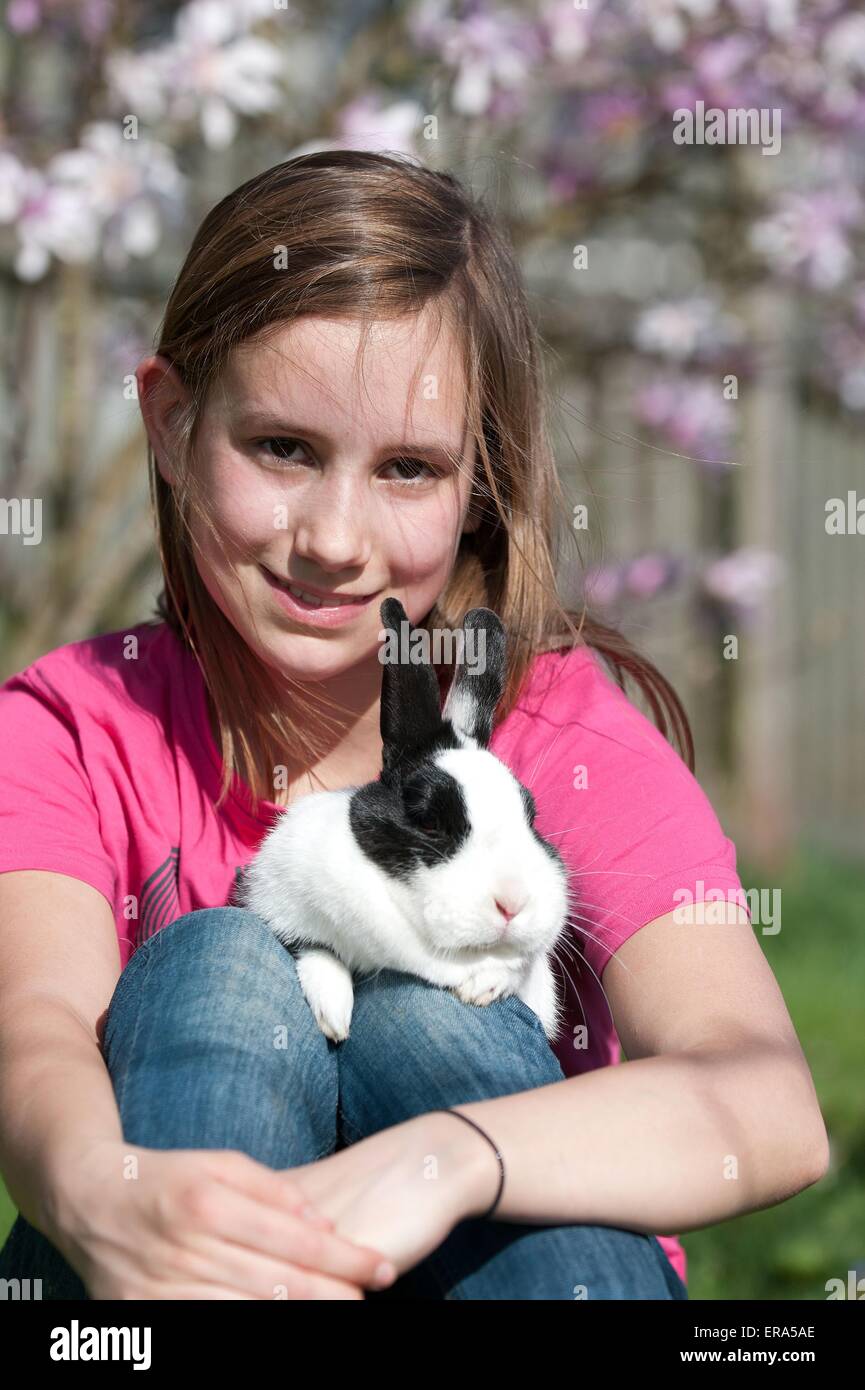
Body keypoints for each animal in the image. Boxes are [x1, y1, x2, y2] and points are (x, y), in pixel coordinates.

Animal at [235, 596, 570, 1044]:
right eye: (428, 821)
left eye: (531, 818)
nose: (513, 904)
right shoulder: (272, 899)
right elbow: (312, 947)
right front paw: (334, 1014)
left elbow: (519, 966)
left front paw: (487, 985)